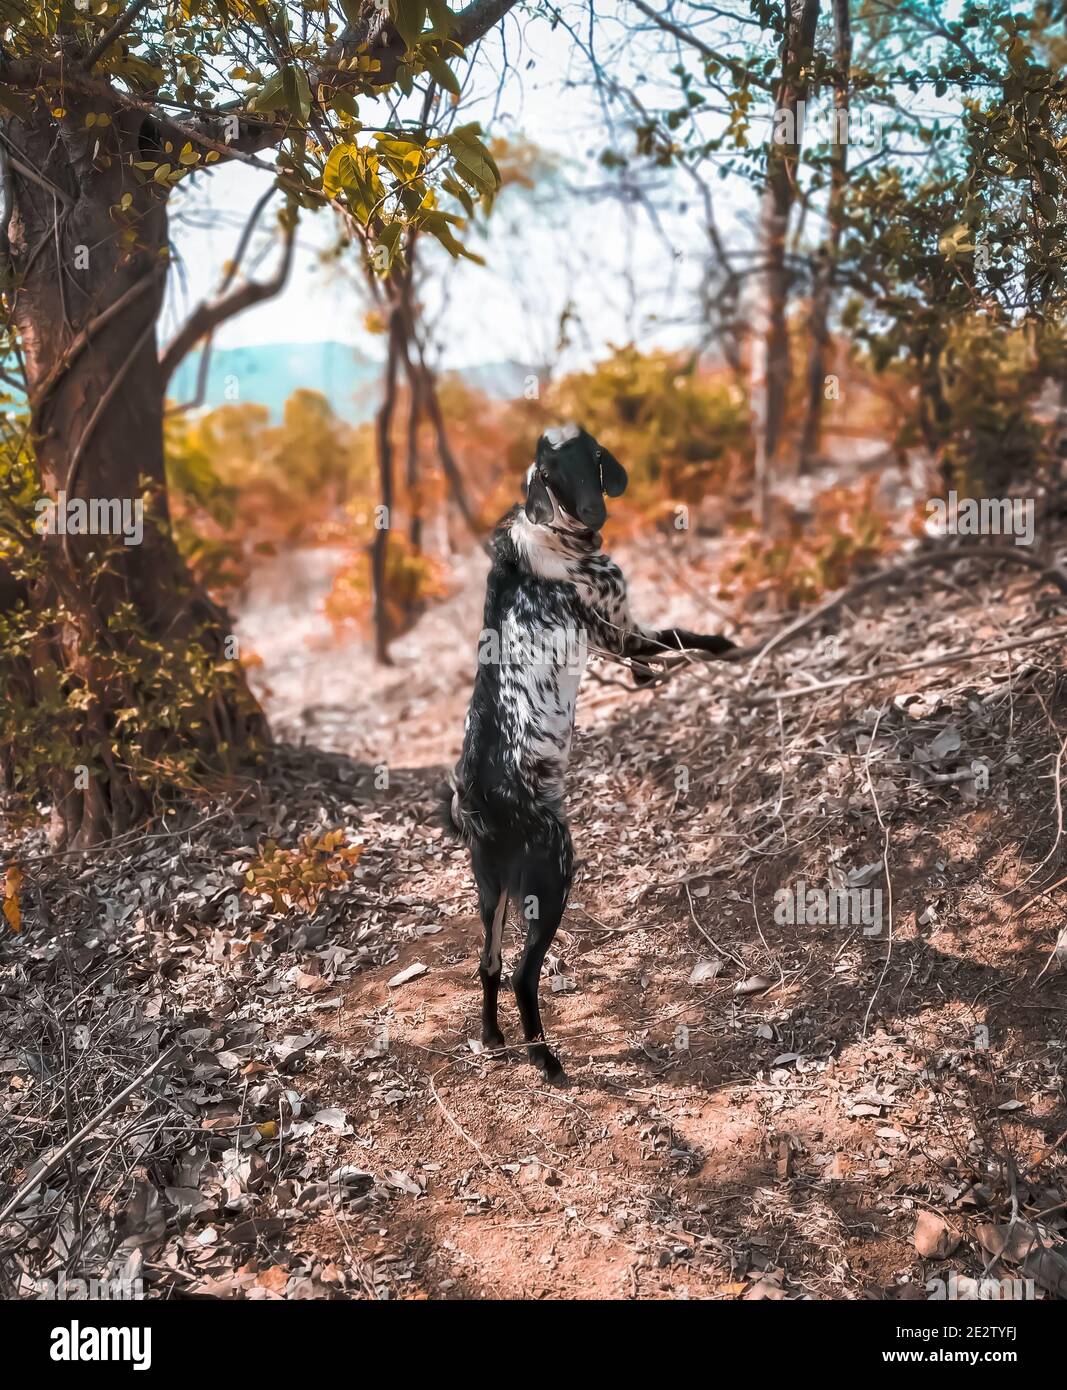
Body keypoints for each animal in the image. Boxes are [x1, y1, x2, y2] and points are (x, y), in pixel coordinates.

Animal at [442, 425, 736, 1081]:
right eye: (581, 464)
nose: (602, 507)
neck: (547, 536)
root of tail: (474, 801)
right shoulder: (618, 629)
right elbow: (680, 636)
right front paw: (725, 643)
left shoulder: (620, 642)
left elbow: (656, 657)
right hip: (552, 876)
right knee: (522, 975)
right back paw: (544, 1059)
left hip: (492, 892)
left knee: (488, 965)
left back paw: (494, 1039)